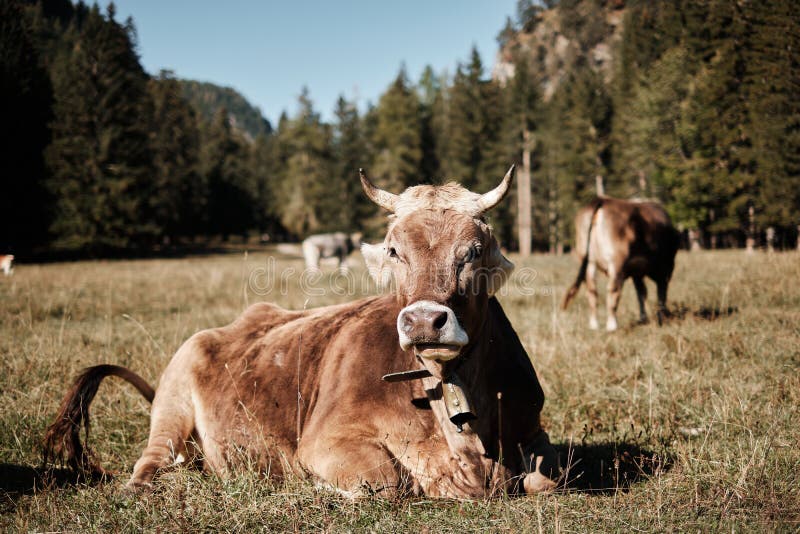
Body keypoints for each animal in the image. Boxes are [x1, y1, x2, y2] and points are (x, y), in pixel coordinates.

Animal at [43, 167, 559, 498]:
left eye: (472, 251)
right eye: (394, 251)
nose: (423, 321)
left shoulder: (533, 427)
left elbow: (545, 476)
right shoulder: (326, 441)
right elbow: (385, 482)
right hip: (172, 407)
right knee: (150, 463)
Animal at [562, 196, 680, 331]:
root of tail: (602, 200)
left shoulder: (637, 272)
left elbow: (641, 293)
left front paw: (643, 318)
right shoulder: (664, 269)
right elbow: (660, 293)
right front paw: (661, 317)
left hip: (589, 262)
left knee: (592, 290)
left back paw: (594, 325)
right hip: (616, 262)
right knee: (613, 290)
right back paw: (612, 325)